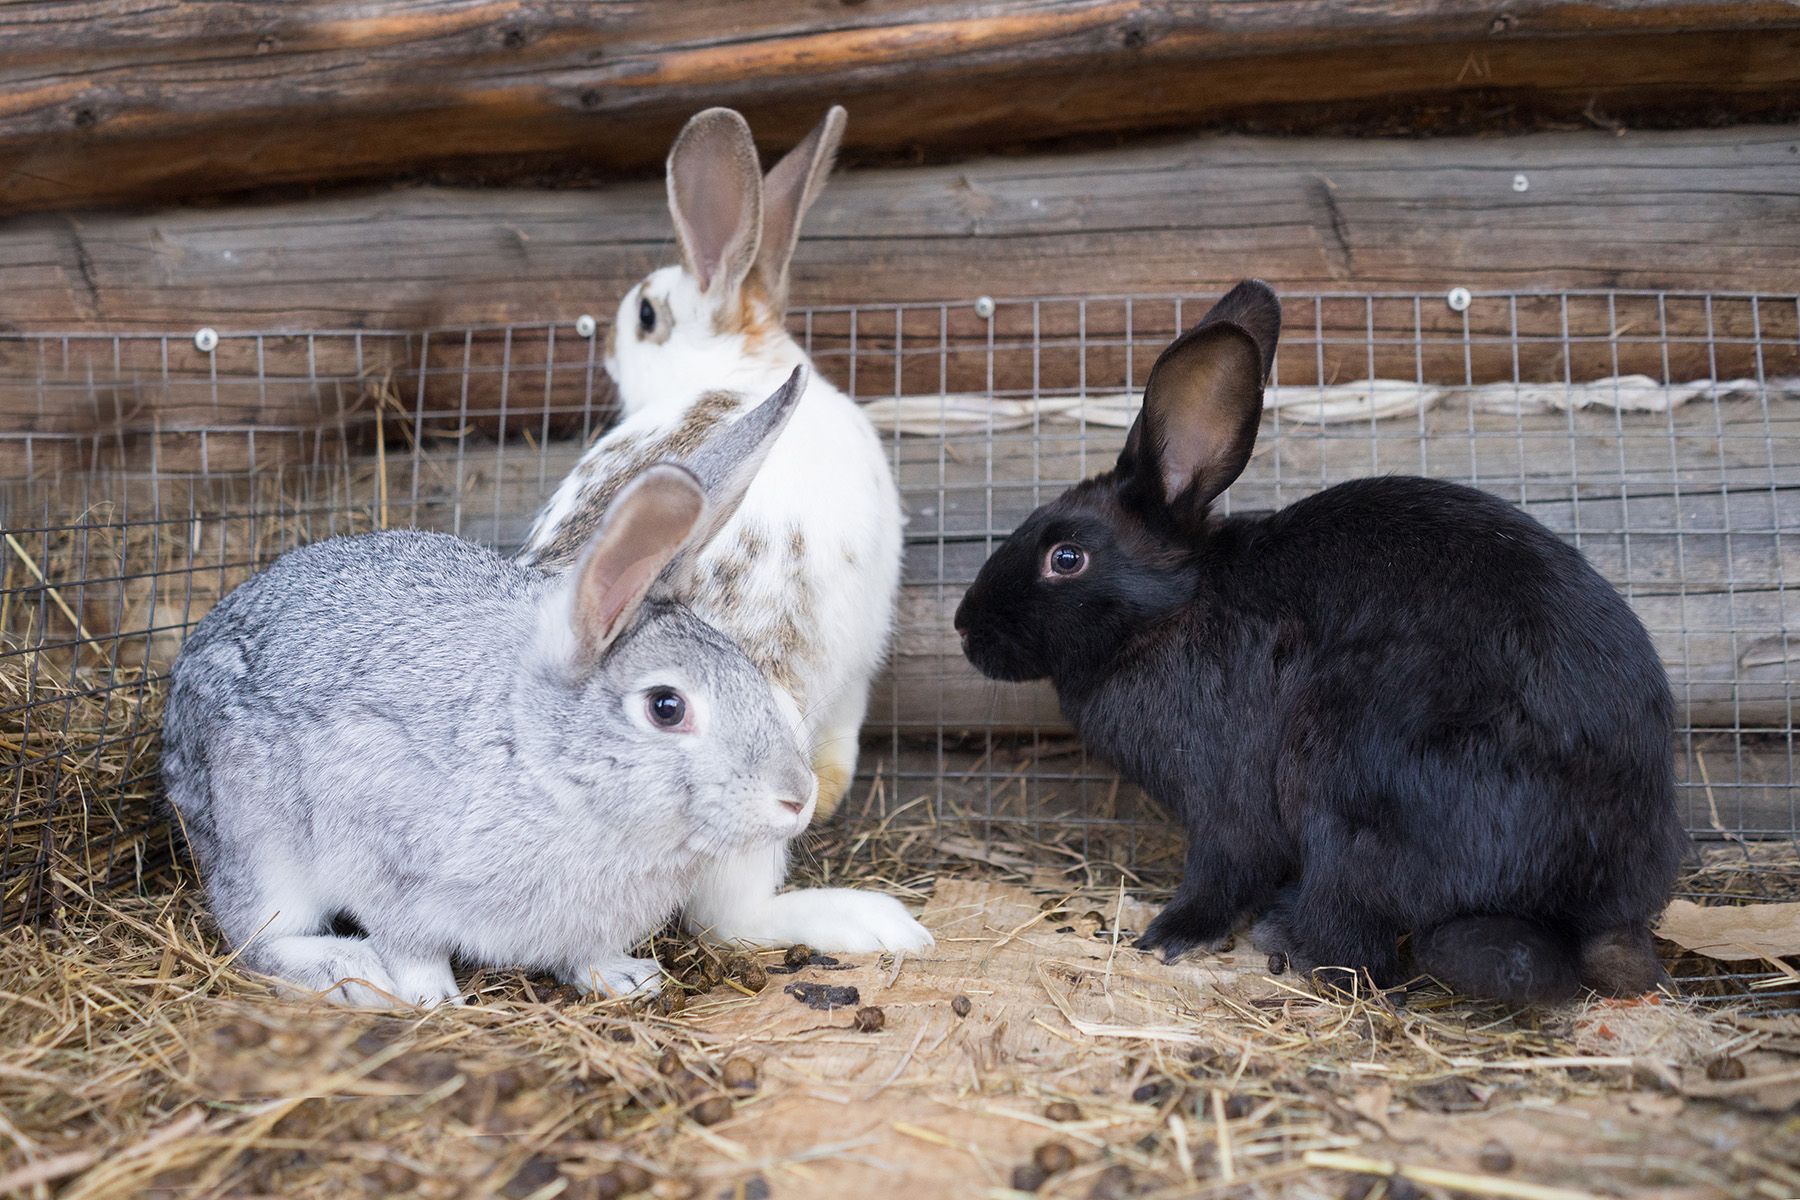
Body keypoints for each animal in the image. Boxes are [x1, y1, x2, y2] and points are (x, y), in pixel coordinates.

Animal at [160, 371, 824, 1008]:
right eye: (666, 707)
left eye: (747, 669)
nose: (798, 797)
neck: (540, 764)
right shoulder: (381, 850)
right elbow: (410, 943)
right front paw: (431, 996)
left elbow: (586, 953)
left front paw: (625, 979)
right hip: (259, 845)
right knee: (254, 936)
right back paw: (351, 973)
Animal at [516, 106, 931, 955]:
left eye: (645, 314)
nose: (609, 351)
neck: (750, 367)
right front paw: (835, 790)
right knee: (735, 915)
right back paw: (871, 920)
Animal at [953, 280, 1686, 1004]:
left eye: (1066, 558)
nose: (964, 627)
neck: (1172, 612)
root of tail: (1597, 901)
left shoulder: (1225, 801)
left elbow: (1223, 868)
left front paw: (1167, 935)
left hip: (1343, 779)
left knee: (1361, 949)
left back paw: (1290, 940)